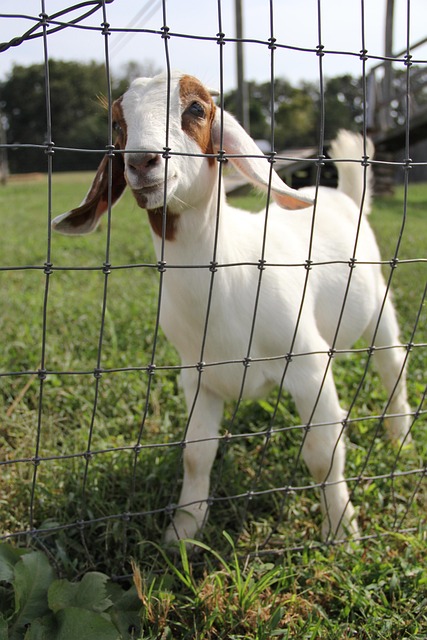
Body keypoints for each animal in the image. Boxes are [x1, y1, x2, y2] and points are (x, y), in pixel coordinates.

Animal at [52, 71, 411, 544]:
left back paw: (400, 437)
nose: (142, 162)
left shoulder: (308, 364)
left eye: (196, 109)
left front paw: (340, 529)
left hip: (379, 306)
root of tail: (344, 196)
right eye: (116, 123)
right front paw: (183, 532)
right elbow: (196, 452)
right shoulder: (196, 376)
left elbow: (322, 452)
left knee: (392, 364)